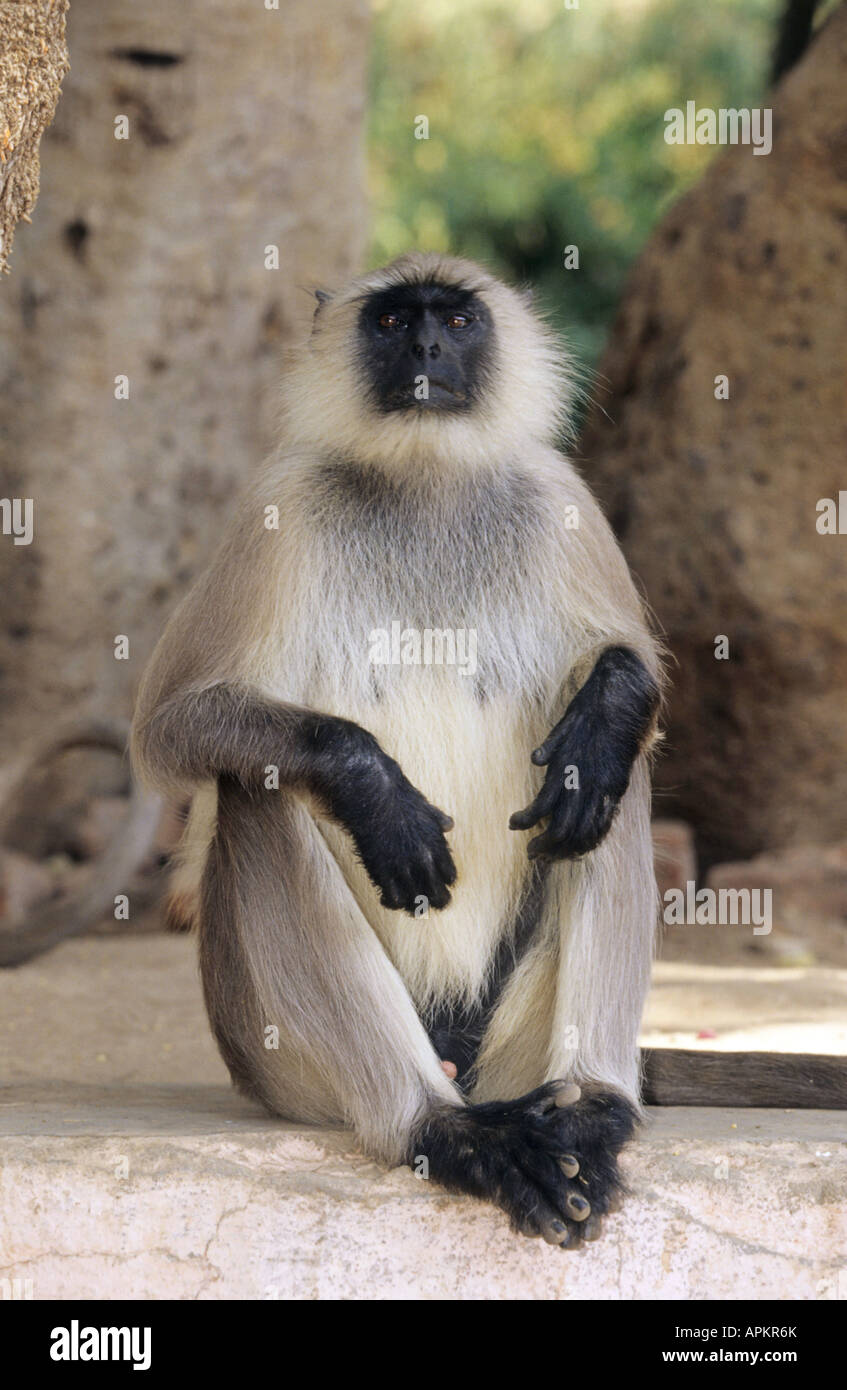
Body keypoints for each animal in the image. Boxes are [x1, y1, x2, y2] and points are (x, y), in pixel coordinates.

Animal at [130, 252, 844, 1251]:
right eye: (394, 322)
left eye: (459, 321)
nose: (428, 350)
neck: (427, 479)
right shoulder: (280, 507)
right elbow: (170, 727)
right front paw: (372, 789)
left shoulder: (560, 498)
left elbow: (632, 695)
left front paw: (607, 705)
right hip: (279, 1069)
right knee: (259, 786)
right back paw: (443, 1130)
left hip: (516, 1048)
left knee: (609, 785)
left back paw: (593, 1105)